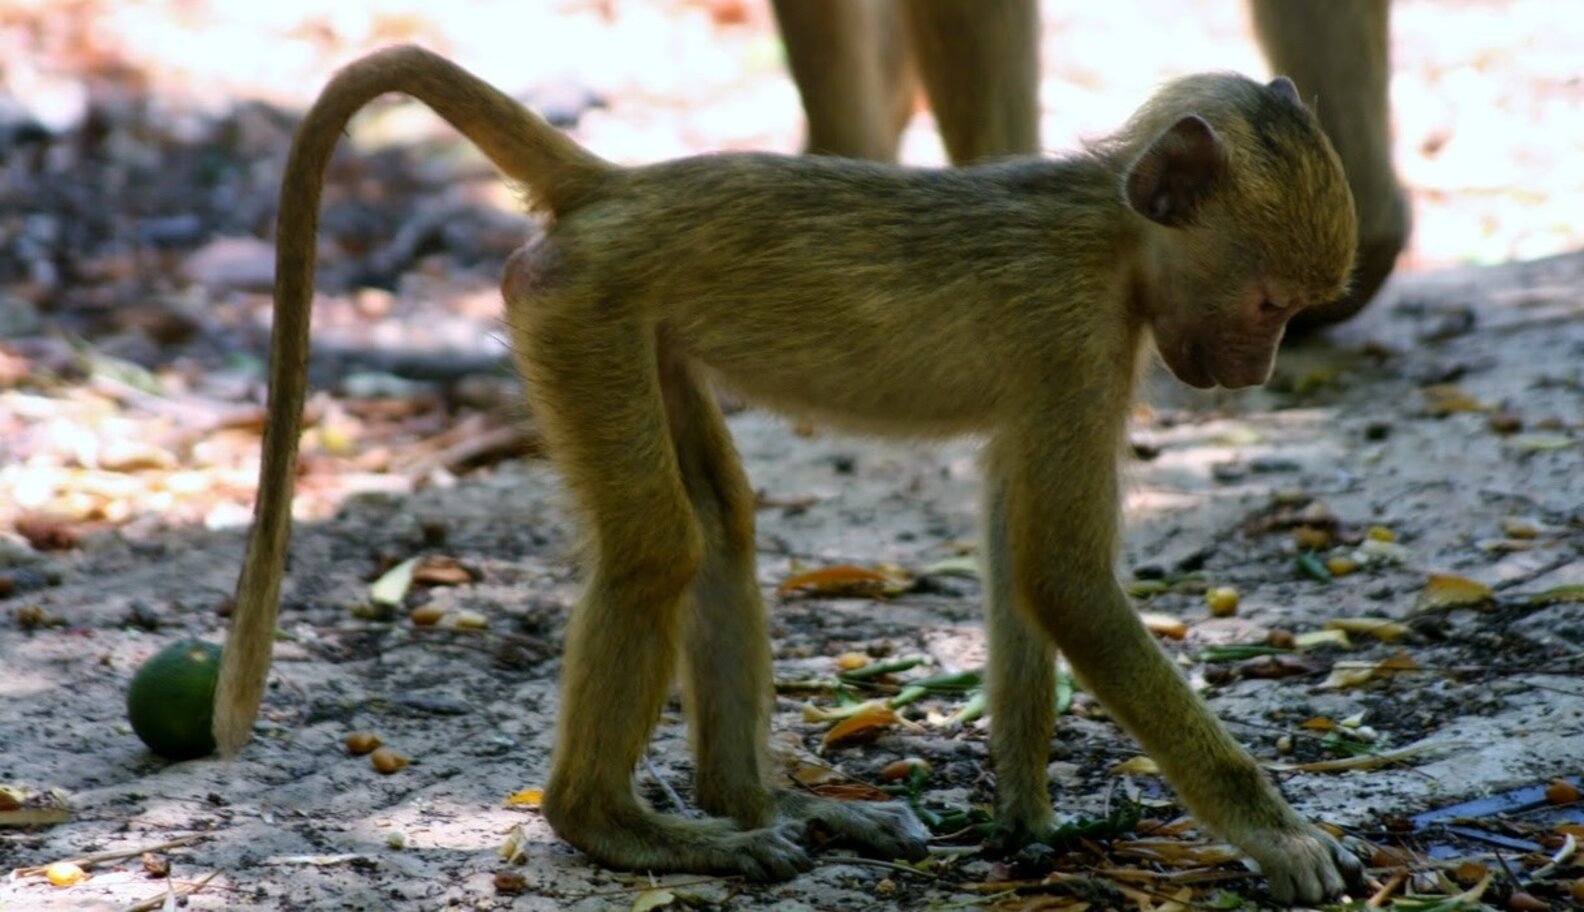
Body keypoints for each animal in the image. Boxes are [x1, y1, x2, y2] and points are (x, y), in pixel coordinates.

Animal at [213, 46, 1364, 904]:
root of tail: (623, 187)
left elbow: (1018, 566)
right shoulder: (1075, 334)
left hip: (631, 326)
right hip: (574, 304)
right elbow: (1065, 580)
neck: (1112, 230)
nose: (1257, 374)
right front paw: (1278, 836)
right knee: (659, 548)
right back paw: (618, 827)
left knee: (721, 528)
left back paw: (761, 803)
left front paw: (1030, 818)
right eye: (1271, 305)